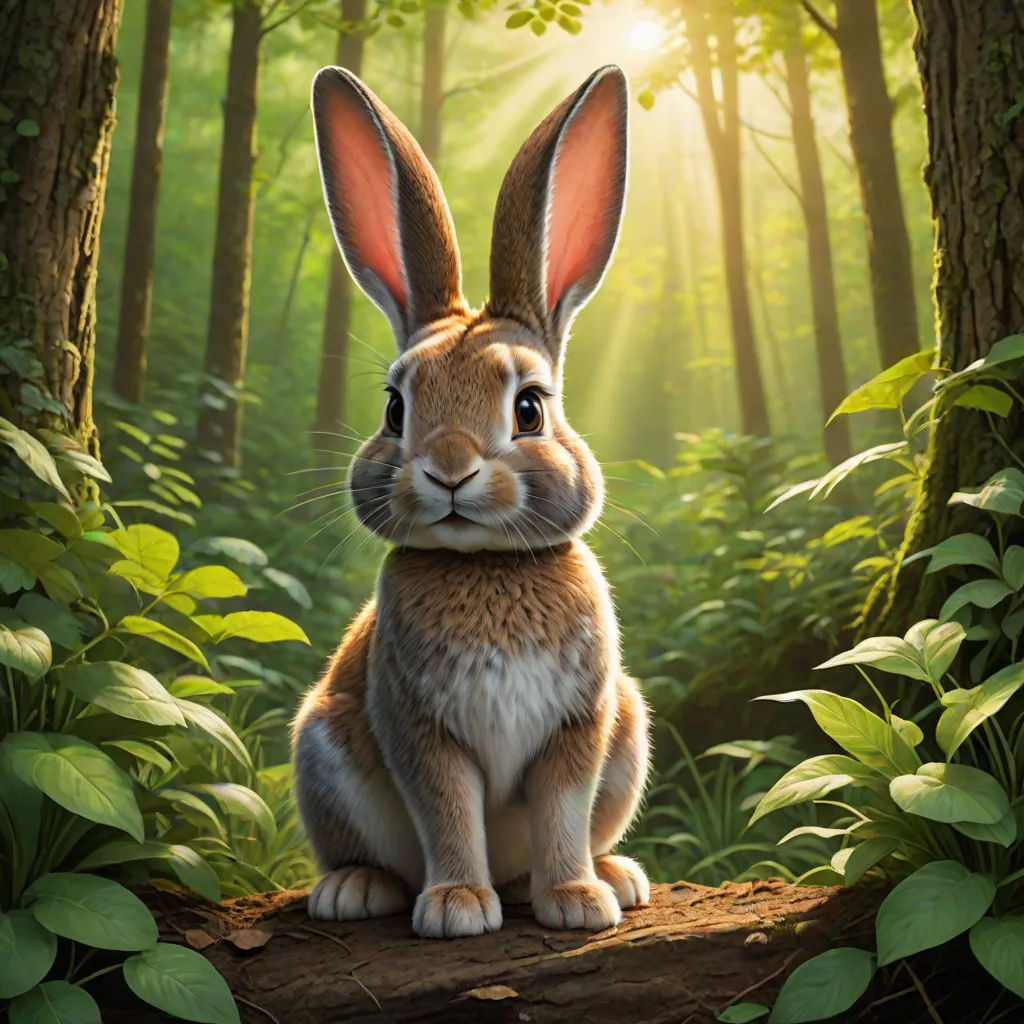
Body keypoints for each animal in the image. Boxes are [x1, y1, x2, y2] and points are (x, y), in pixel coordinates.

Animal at [292, 63, 650, 940]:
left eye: (529, 408)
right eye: (396, 408)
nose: (449, 470)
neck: (486, 566)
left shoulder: (581, 725)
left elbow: (562, 811)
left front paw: (575, 901)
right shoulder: (420, 729)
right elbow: (447, 810)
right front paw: (456, 905)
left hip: (630, 727)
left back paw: (610, 876)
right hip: (323, 745)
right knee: (369, 853)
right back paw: (355, 890)